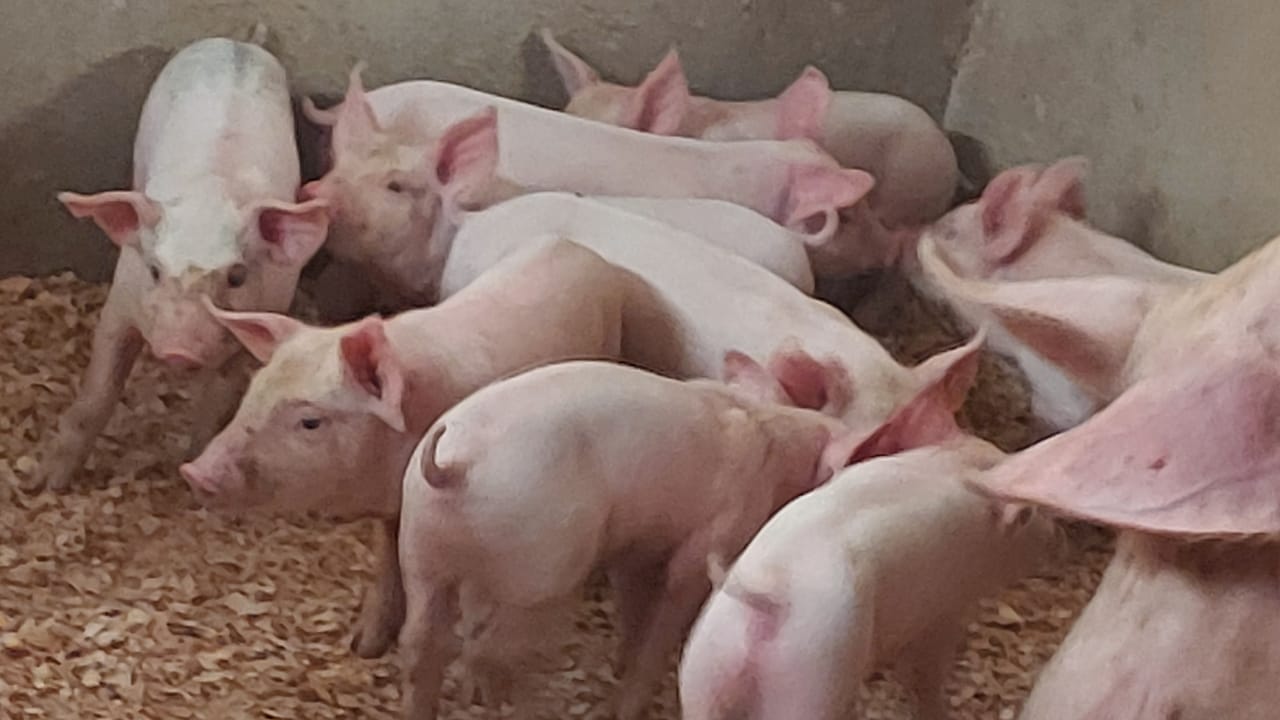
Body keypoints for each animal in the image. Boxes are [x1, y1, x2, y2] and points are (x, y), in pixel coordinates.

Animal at [33, 35, 330, 492]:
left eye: (237, 275)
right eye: (155, 270)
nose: (178, 350)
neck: (212, 193)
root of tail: (239, 42)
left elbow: (216, 402)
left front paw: (193, 481)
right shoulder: (121, 299)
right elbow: (98, 393)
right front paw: (47, 484)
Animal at [180, 240, 651, 659]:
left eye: (310, 421)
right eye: (253, 391)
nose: (195, 472)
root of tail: (577, 248)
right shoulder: (392, 509)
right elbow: (387, 566)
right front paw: (362, 647)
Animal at [395, 336, 983, 720]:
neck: (776, 437)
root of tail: (456, 466)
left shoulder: (641, 543)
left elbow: (636, 605)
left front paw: (622, 663)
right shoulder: (713, 535)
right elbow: (673, 601)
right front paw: (628, 701)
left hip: (418, 542)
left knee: (422, 639)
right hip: (540, 559)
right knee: (484, 638)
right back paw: (493, 693)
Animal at [678, 377, 1060, 720]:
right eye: (1030, 513)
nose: (1054, 534)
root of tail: (768, 599)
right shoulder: (945, 607)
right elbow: (926, 669)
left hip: (706, 665)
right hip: (812, 675)